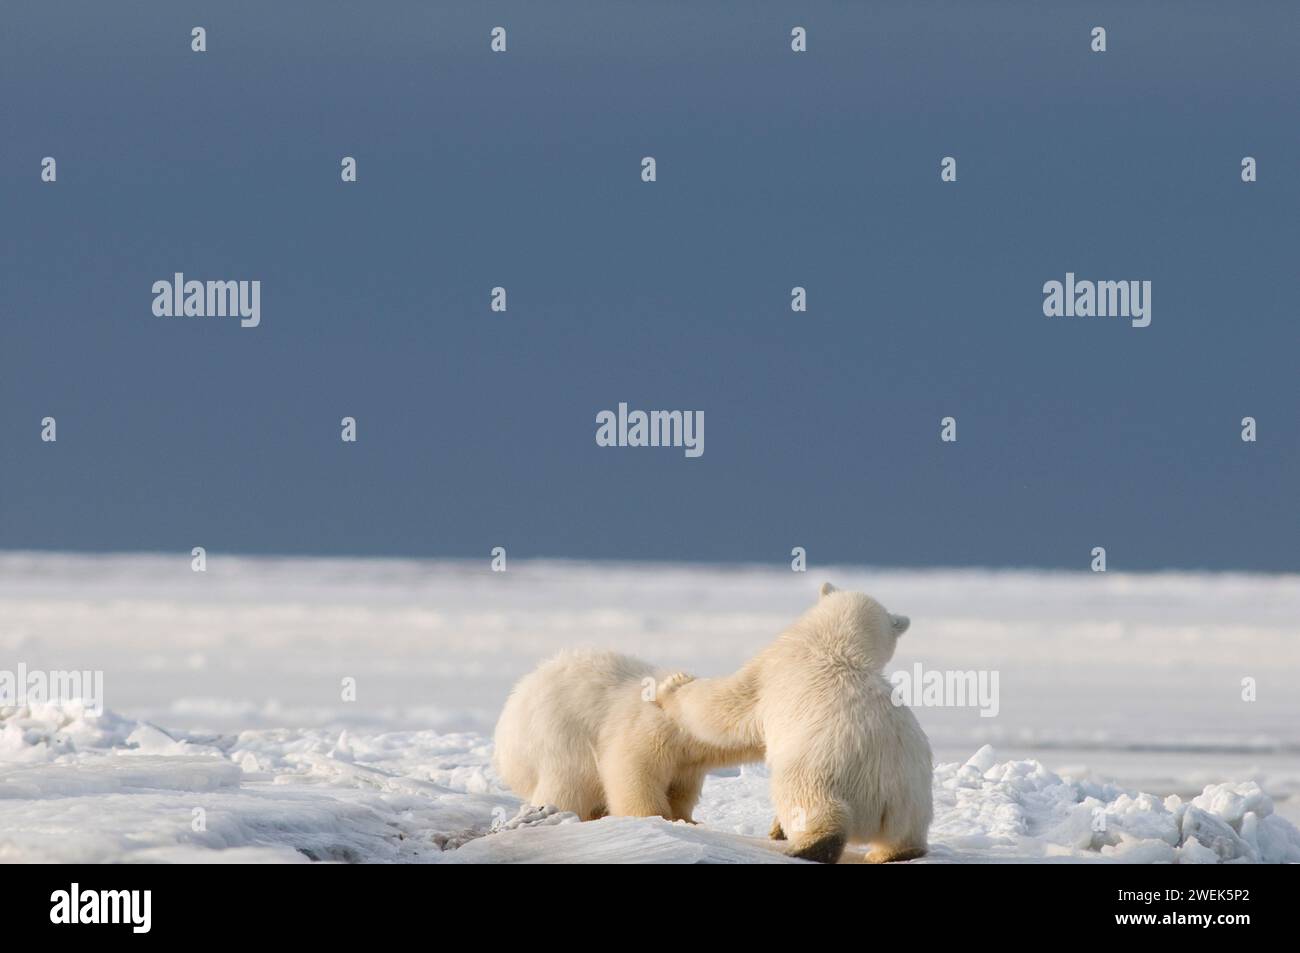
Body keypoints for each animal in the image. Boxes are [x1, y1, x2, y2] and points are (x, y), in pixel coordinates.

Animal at [492, 649, 759, 823]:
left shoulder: (688, 762)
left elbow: (681, 790)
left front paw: (687, 820)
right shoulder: (652, 731)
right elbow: (631, 770)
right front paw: (654, 817)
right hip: (558, 739)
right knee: (568, 785)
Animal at [654, 583, 933, 864]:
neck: (838, 644)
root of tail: (884, 793)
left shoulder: (769, 669)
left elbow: (726, 704)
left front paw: (672, 685)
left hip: (818, 771)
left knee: (809, 805)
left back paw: (806, 846)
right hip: (914, 801)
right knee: (905, 837)